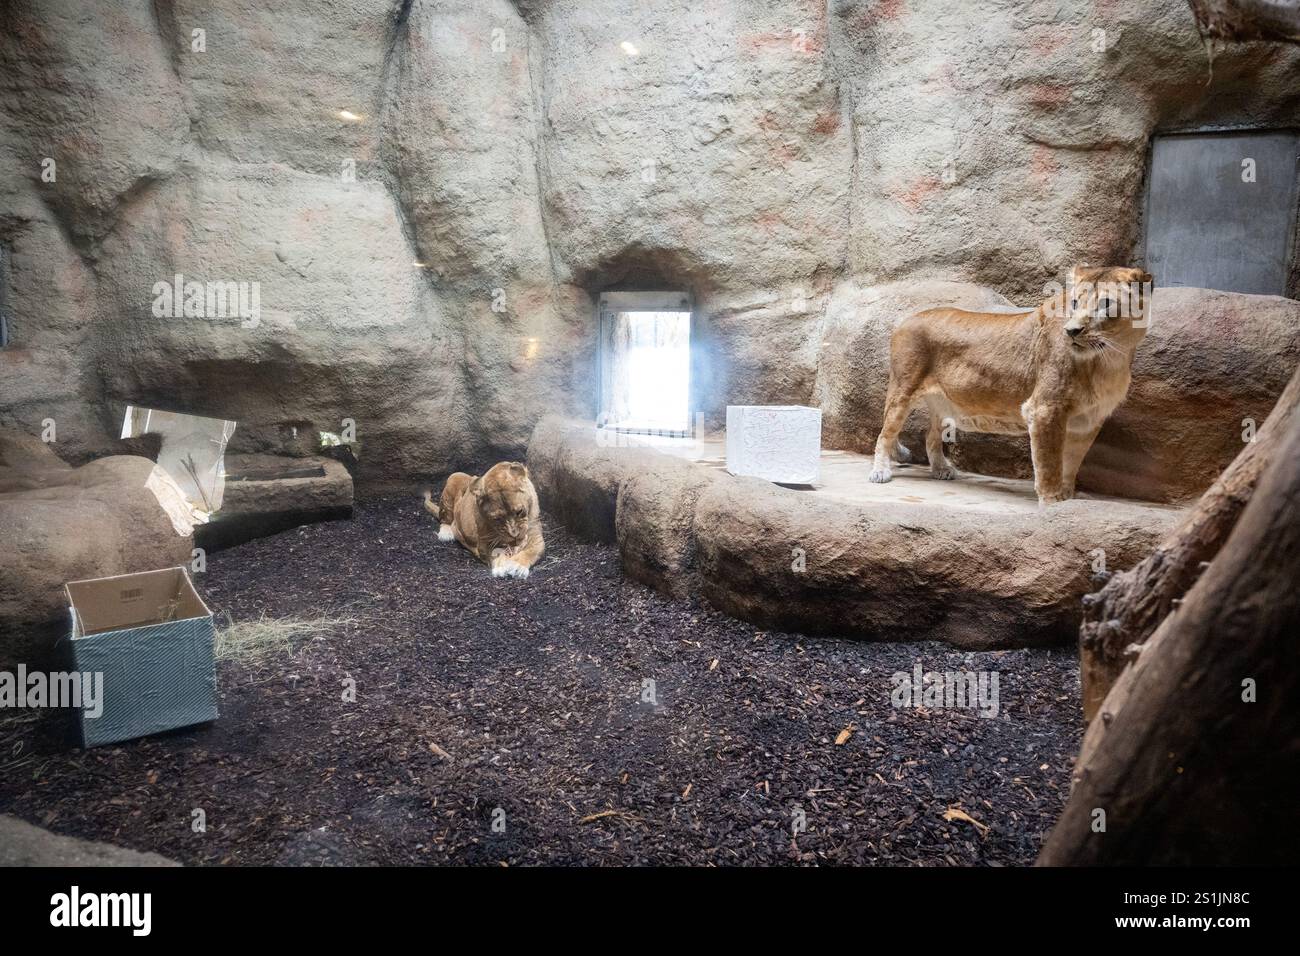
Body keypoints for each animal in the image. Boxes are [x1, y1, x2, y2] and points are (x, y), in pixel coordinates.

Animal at [867, 266, 1152, 505]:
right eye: (1074, 303)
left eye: (1106, 304)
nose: (1071, 331)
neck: (1109, 359)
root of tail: (905, 320)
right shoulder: (1044, 409)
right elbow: (1049, 463)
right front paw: (1052, 503)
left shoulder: (1090, 419)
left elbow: (1071, 463)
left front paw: (1067, 497)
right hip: (903, 390)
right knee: (885, 434)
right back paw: (880, 472)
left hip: (942, 402)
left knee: (930, 436)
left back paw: (941, 469)